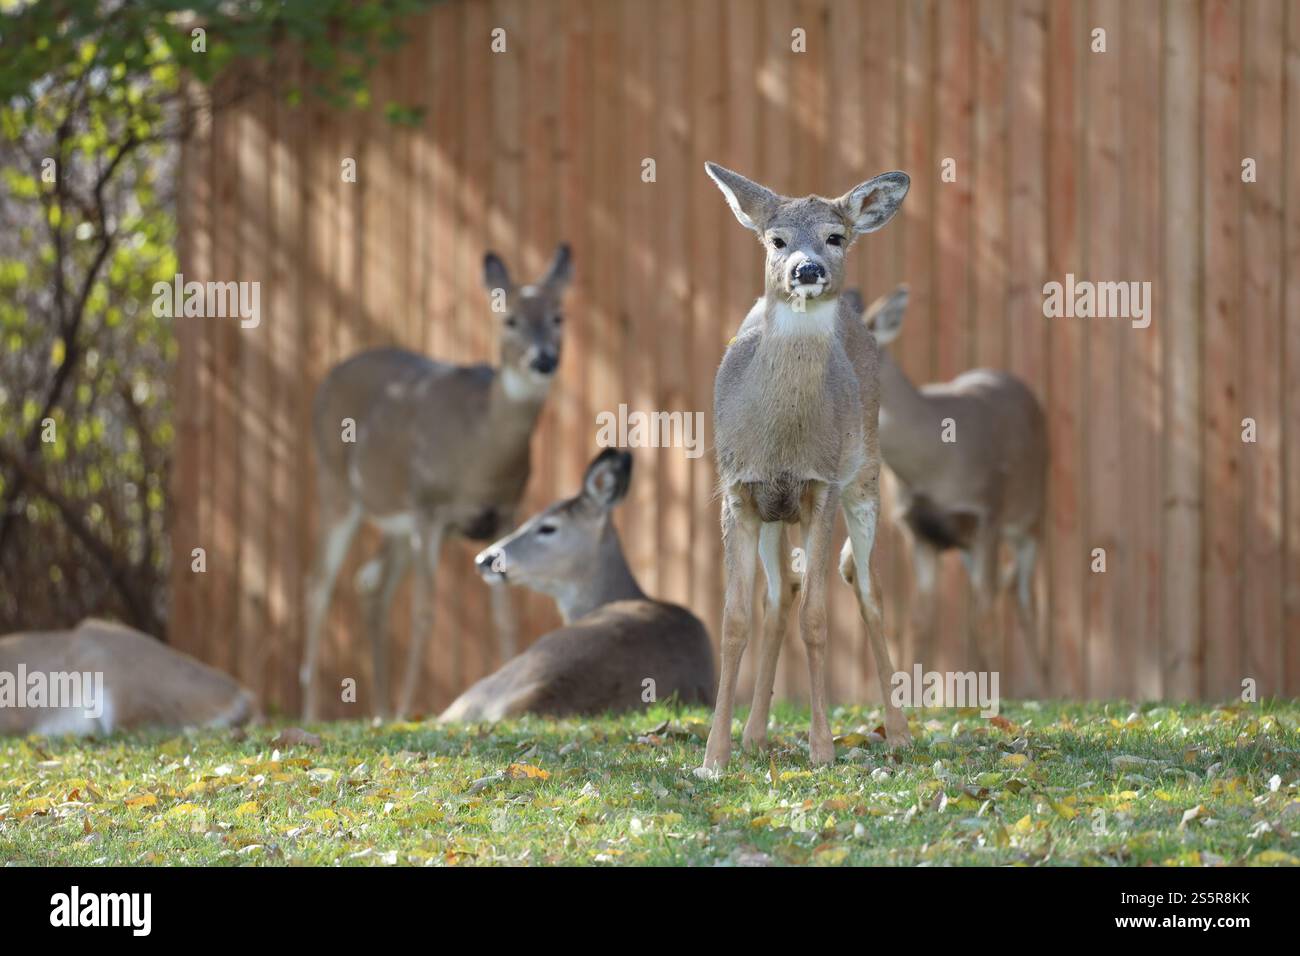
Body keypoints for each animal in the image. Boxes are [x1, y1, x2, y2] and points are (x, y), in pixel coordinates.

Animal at [301, 244, 573, 720]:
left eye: (558, 316)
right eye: (510, 320)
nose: (543, 359)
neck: (480, 447)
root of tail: (331, 375)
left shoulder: (505, 512)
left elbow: (504, 614)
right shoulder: (429, 510)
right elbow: (425, 614)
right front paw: (410, 710)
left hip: (396, 524)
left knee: (370, 584)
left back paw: (380, 710)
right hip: (337, 485)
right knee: (318, 586)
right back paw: (316, 713)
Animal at [699, 162, 913, 775]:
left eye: (835, 236)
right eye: (776, 240)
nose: (808, 268)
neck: (783, 442)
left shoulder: (823, 486)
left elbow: (817, 618)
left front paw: (821, 749)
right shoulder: (738, 490)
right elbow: (735, 619)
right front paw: (714, 755)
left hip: (865, 477)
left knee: (865, 585)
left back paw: (899, 732)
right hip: (777, 515)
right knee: (781, 594)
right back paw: (754, 735)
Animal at [855, 285, 1049, 690]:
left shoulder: (986, 516)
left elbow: (985, 616)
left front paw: (997, 695)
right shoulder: (918, 532)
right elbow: (920, 620)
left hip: (1031, 516)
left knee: (1022, 597)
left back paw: (1043, 688)